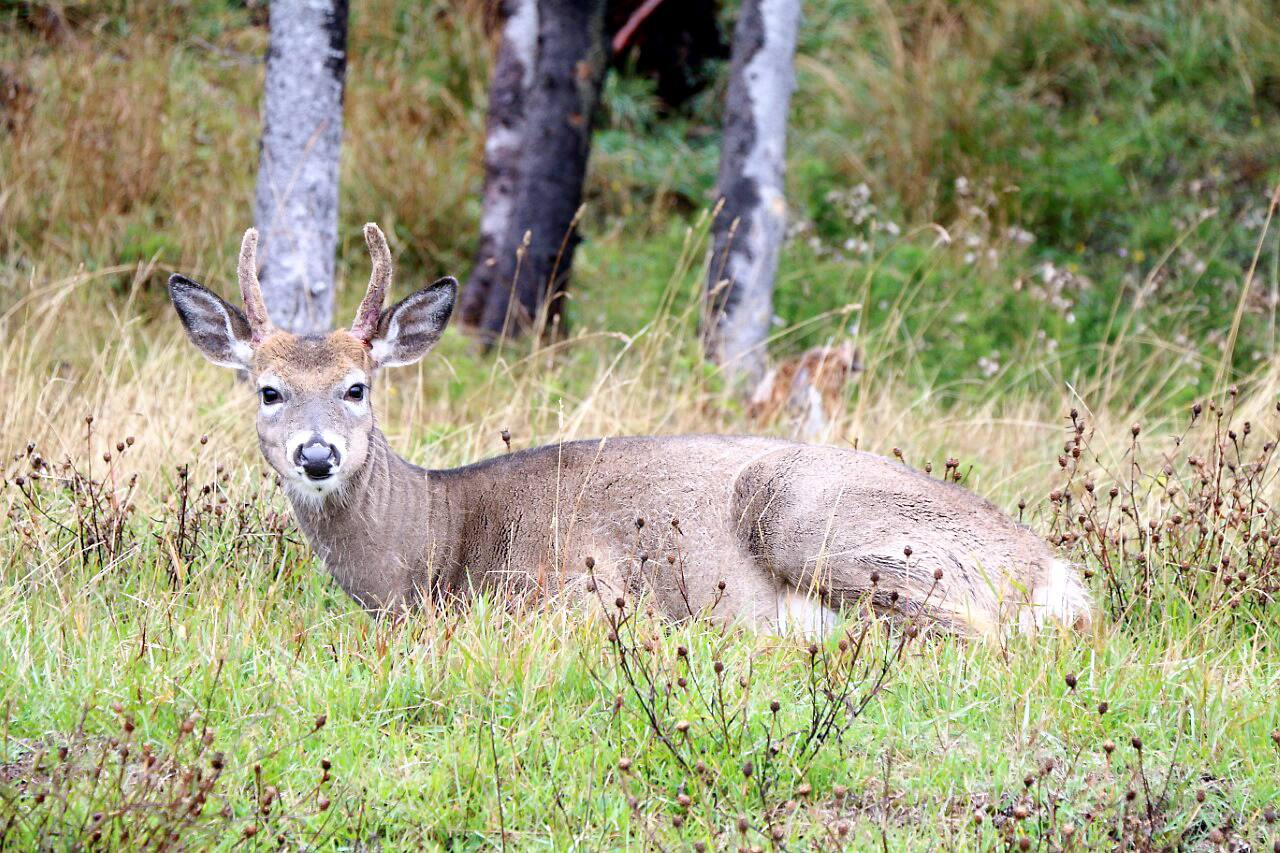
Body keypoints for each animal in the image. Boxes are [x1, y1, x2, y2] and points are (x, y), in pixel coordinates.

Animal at [167, 224, 1092, 637]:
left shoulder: (575, 586)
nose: (317, 455)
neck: (434, 547)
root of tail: (1057, 572)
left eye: (358, 386)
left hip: (812, 515)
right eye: (268, 391)